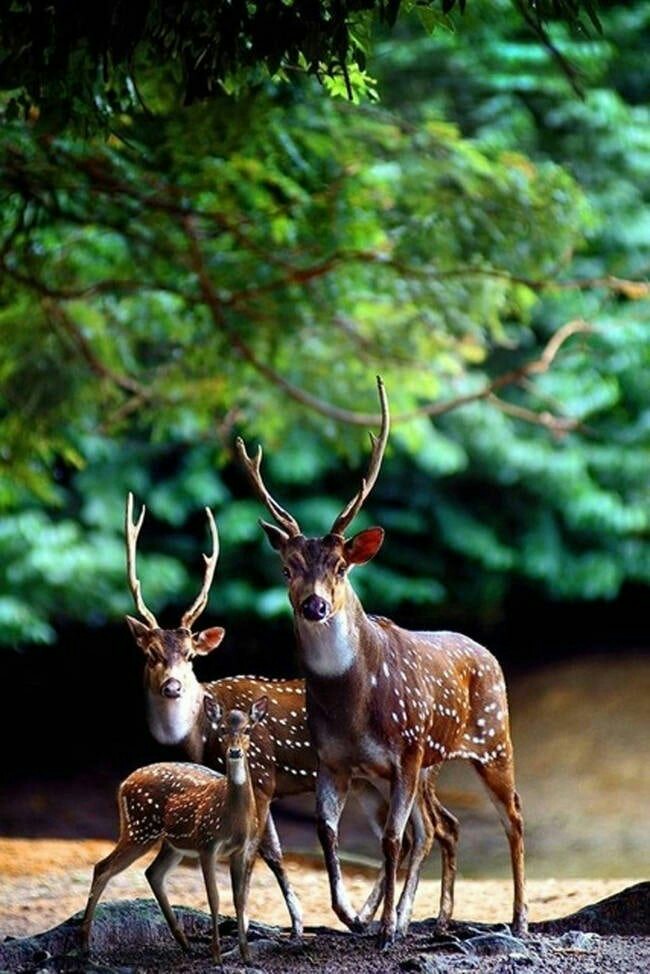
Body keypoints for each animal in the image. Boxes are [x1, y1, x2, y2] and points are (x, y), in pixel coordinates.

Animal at [81, 696, 271, 965]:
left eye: (247, 729)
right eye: (222, 729)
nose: (235, 752)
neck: (231, 817)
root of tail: (123, 784)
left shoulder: (240, 849)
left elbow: (240, 899)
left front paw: (246, 956)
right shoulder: (207, 843)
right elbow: (214, 898)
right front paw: (216, 955)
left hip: (170, 843)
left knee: (153, 872)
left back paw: (185, 943)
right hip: (140, 829)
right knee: (103, 867)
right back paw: (85, 946)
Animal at [124, 493, 460, 935]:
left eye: (191, 656)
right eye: (150, 655)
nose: (172, 687)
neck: (202, 734)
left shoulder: (261, 772)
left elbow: (263, 851)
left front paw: (278, 924)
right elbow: (271, 852)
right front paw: (290, 923)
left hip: (417, 768)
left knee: (430, 829)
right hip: (374, 781)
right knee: (422, 832)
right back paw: (383, 916)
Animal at [236, 375, 527, 949]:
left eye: (341, 566)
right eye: (286, 568)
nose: (315, 605)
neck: (353, 705)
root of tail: (488, 653)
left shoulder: (405, 750)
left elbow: (391, 840)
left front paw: (387, 927)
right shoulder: (334, 760)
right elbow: (328, 833)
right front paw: (352, 916)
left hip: (491, 738)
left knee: (511, 816)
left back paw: (519, 919)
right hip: (432, 762)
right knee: (443, 825)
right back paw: (436, 918)